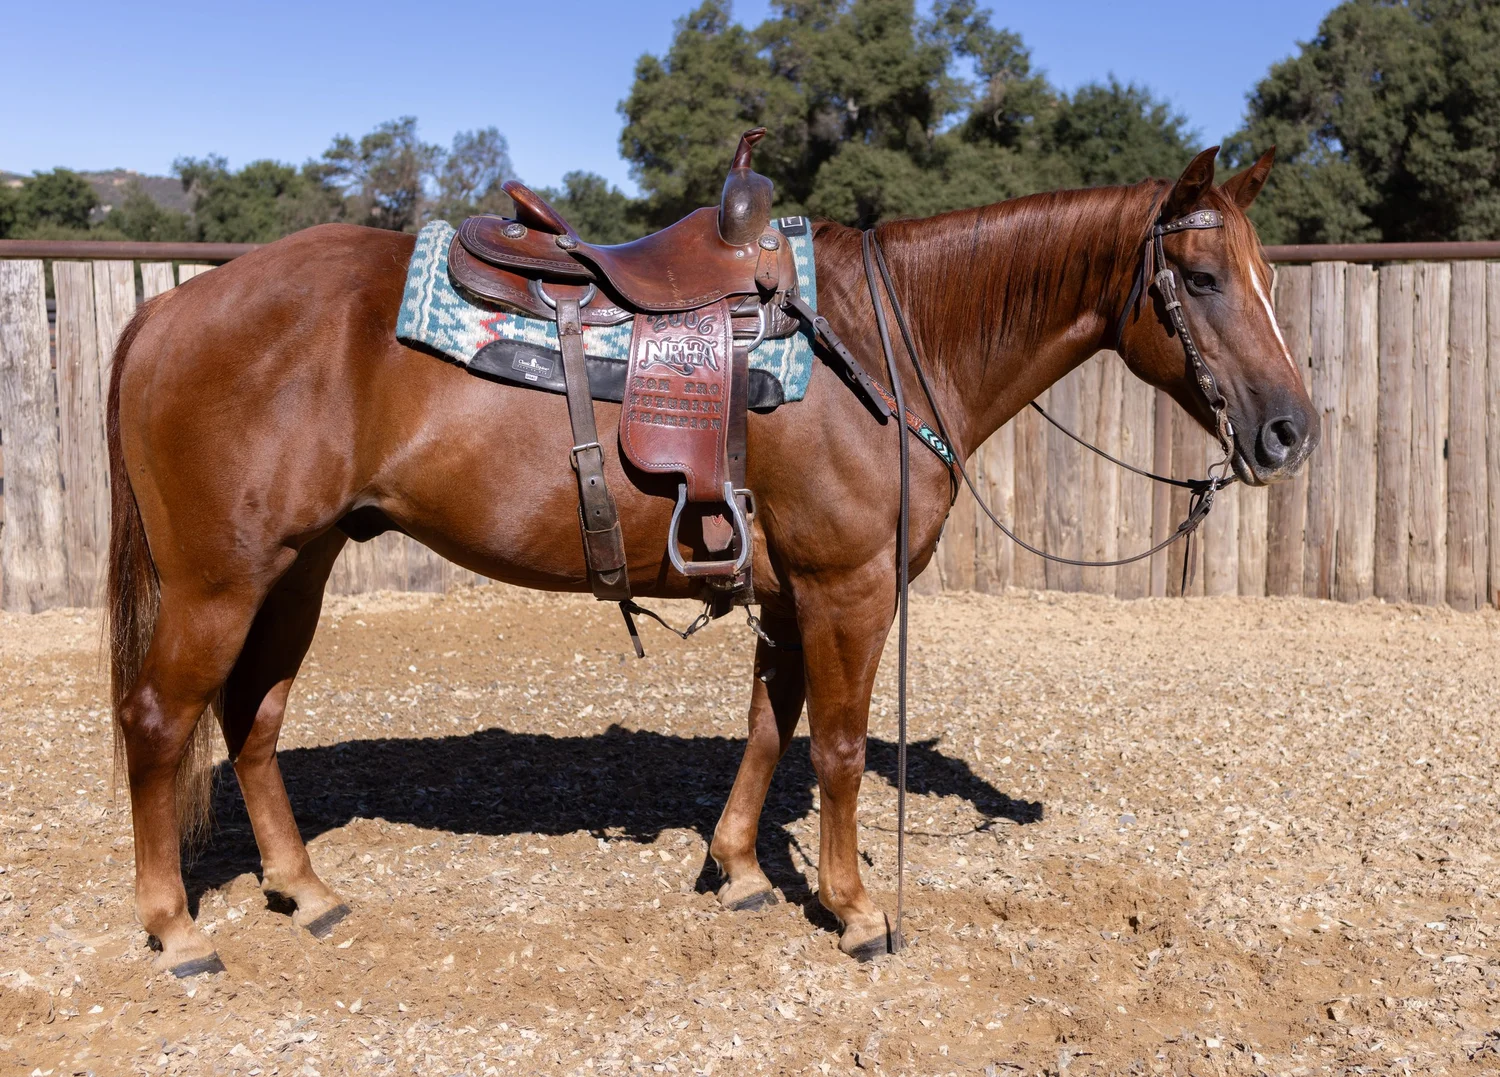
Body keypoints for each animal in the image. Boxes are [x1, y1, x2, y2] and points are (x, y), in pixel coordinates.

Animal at [106, 145, 1316, 976]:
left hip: (296, 568)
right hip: (220, 581)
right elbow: (835, 747)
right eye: (1203, 279)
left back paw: (303, 889)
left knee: (253, 715)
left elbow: (768, 730)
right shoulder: (846, 587)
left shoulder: (785, 593)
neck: (883, 345)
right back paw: (174, 928)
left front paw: (737, 871)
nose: (1291, 431)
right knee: (163, 721)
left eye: (1269, 273)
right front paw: (856, 909)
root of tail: (171, 308)